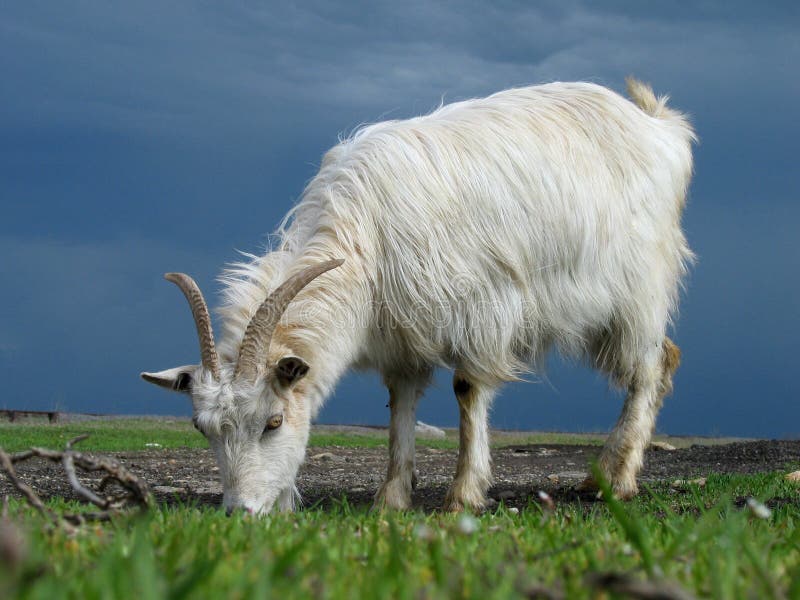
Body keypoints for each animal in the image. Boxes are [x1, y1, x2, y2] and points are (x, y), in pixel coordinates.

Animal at [142, 77, 695, 513]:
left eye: (274, 421)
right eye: (203, 429)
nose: (240, 512)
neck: (363, 234)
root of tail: (661, 127)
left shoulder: (478, 309)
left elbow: (468, 391)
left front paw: (463, 495)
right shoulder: (399, 335)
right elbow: (400, 405)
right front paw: (392, 497)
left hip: (636, 293)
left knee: (650, 368)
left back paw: (619, 481)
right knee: (665, 359)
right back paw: (599, 474)